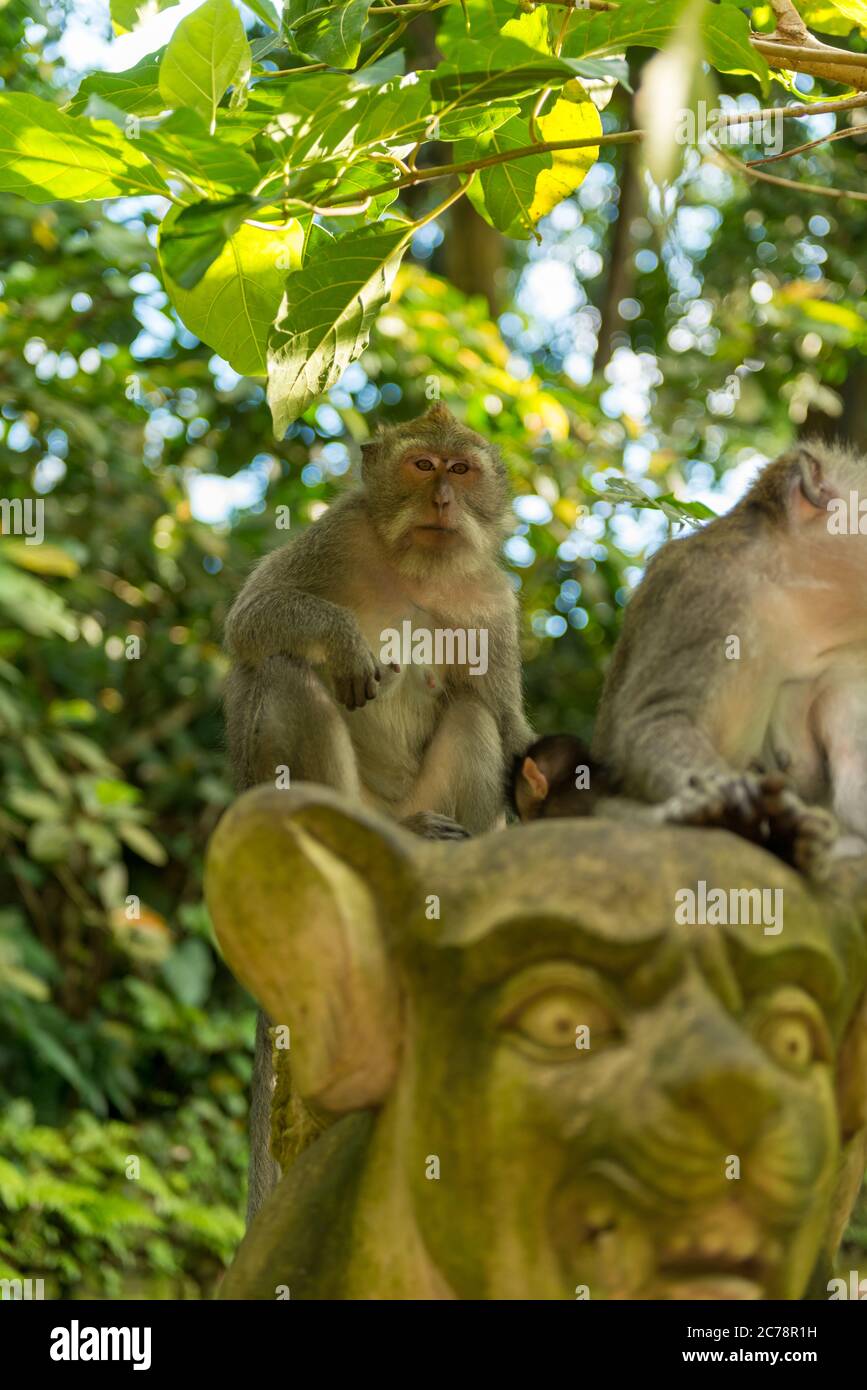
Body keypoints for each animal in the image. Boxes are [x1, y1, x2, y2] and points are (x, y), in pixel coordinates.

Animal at [223, 402, 532, 1219]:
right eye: (421, 466)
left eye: (461, 470)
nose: (443, 502)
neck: (414, 566)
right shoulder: (337, 533)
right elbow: (253, 620)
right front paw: (342, 640)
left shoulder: (495, 603)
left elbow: (503, 721)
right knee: (287, 674)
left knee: (471, 714)